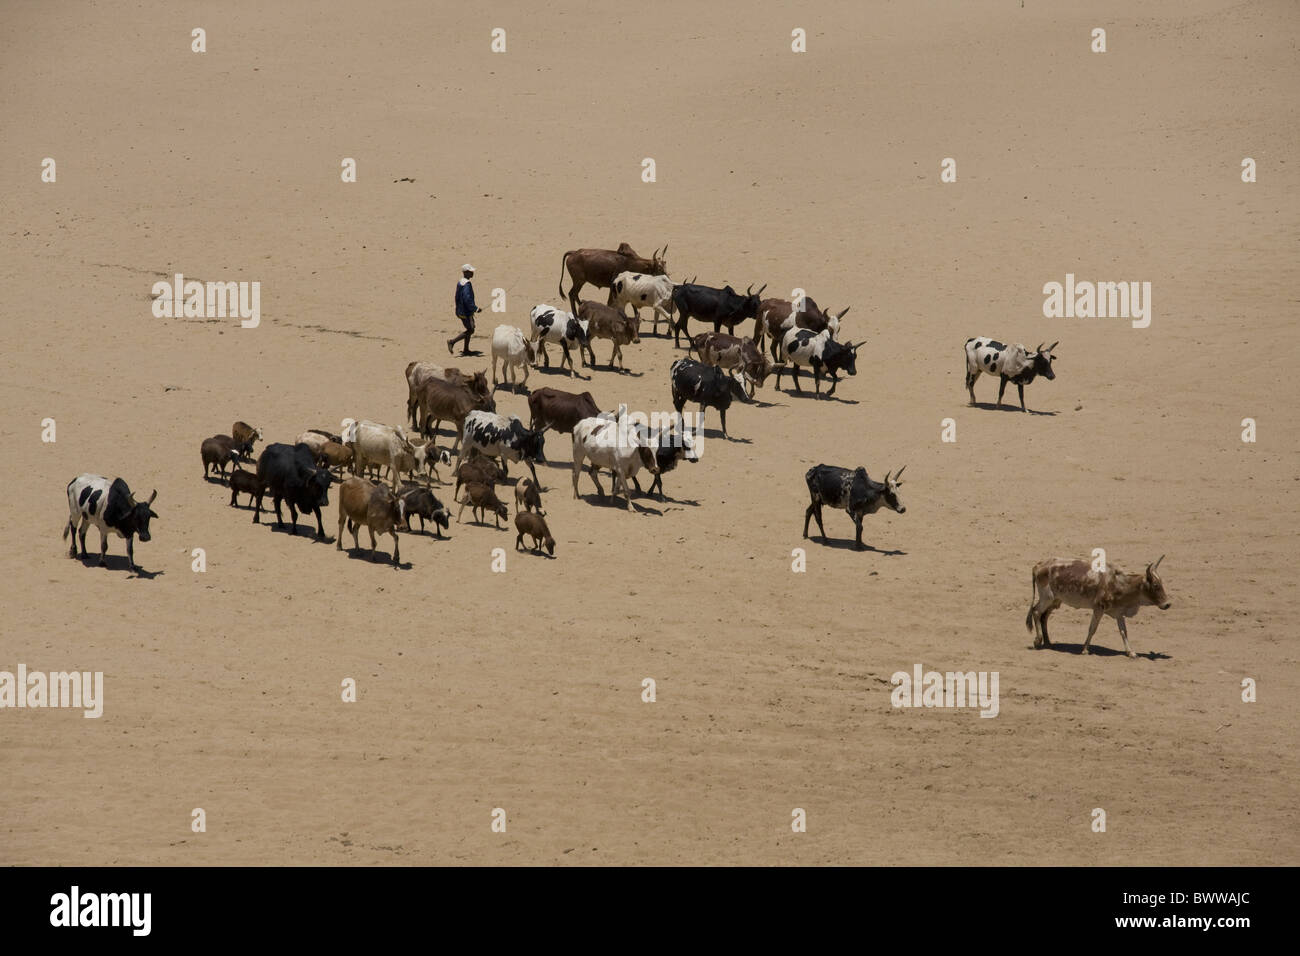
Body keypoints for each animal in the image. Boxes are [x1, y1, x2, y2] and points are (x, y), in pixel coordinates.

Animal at [1026, 555, 1171, 658]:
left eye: (1162, 583)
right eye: (1156, 585)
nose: (1167, 604)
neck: (1119, 582)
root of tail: (1039, 565)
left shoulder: (1119, 612)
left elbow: (1123, 632)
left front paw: (1131, 652)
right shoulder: (1098, 608)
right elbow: (1092, 629)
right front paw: (1085, 650)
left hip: (1055, 601)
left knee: (1044, 617)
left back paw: (1048, 643)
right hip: (1047, 598)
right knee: (1036, 612)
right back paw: (1038, 641)